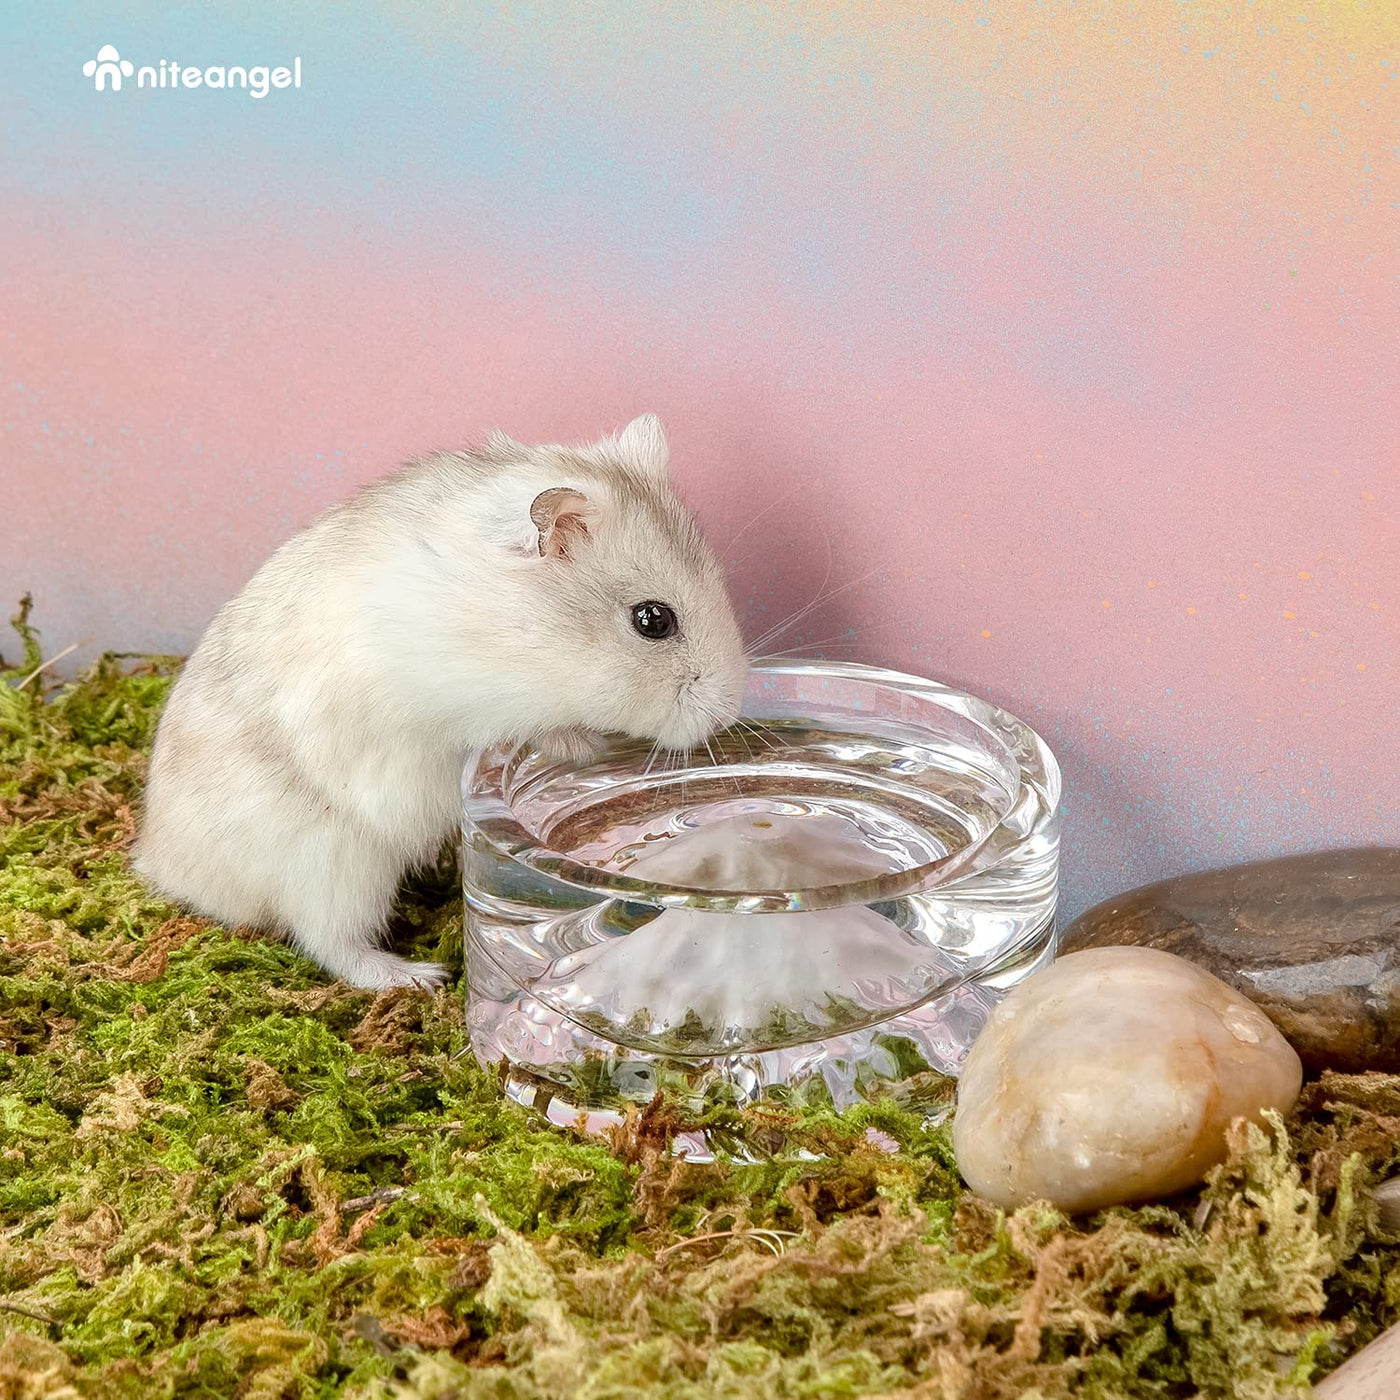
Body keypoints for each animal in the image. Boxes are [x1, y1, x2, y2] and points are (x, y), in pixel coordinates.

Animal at [131, 415, 749, 990]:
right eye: (653, 620)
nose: (727, 713)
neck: (508, 622)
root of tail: (161, 865)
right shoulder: (449, 706)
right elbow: (523, 730)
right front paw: (585, 745)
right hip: (335, 866)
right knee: (331, 943)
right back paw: (418, 977)